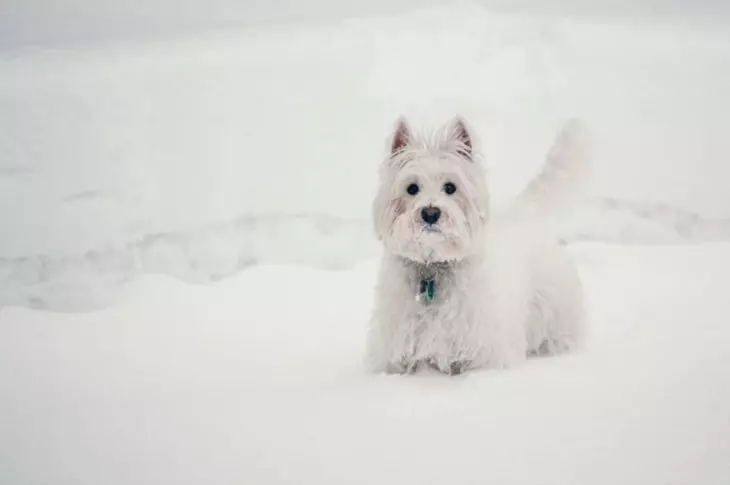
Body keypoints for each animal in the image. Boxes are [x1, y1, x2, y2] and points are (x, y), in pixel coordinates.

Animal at [364, 117, 584, 374]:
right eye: (412, 188)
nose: (430, 213)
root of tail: (525, 210)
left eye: (451, 187)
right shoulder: (395, 347)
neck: (433, 266)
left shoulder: (485, 350)